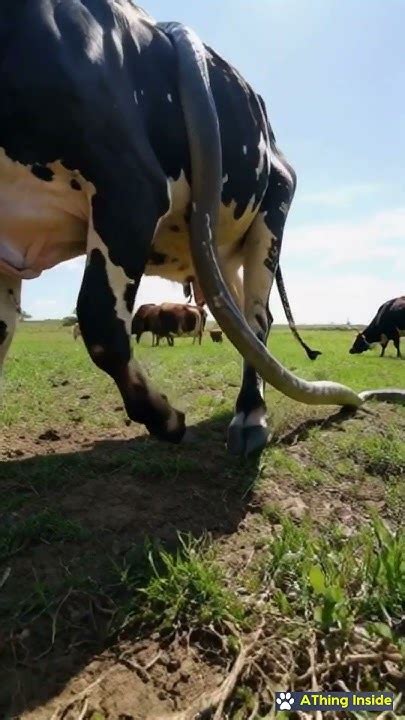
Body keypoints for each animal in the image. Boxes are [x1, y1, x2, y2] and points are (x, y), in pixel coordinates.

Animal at [0, 2, 403, 457]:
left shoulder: (130, 188)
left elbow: (100, 322)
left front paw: (165, 417)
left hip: (270, 218)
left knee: (256, 320)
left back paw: (250, 416)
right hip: (220, 249)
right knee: (244, 318)